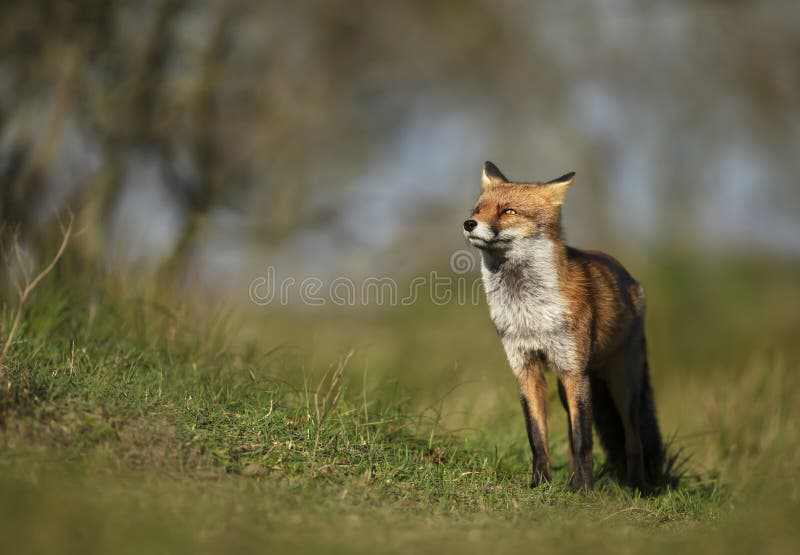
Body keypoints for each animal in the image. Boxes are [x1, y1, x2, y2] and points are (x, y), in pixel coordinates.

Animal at [463, 161, 664, 491]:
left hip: (621, 382)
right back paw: (571, 482)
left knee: (633, 440)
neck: (528, 311)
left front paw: (585, 491)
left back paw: (636, 487)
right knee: (572, 437)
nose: (469, 223)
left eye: (508, 211)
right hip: (566, 386)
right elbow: (538, 438)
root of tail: (629, 277)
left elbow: (584, 442)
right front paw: (540, 485)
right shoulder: (526, 368)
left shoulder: (574, 371)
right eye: (478, 210)